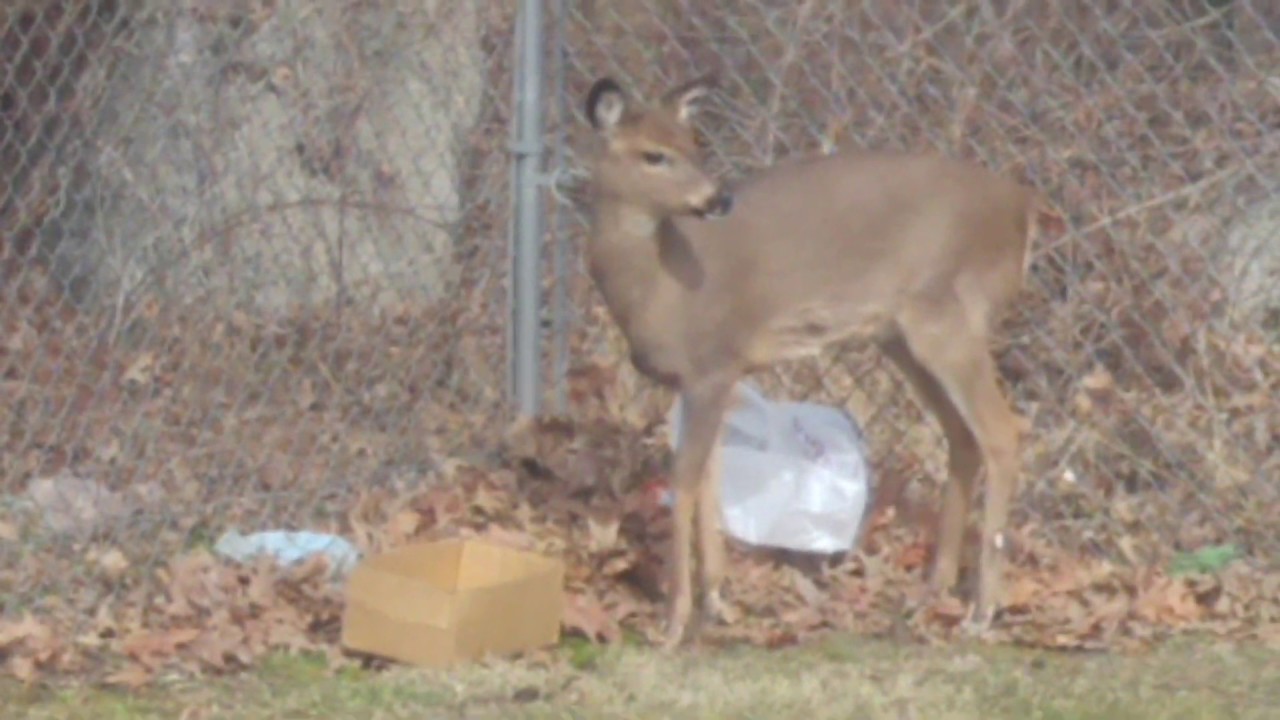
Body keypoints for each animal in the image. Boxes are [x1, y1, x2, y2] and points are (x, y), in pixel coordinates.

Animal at [579, 73, 1056, 650]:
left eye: (693, 144)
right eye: (654, 154)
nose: (717, 198)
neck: (658, 290)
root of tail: (1023, 203)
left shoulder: (715, 363)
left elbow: (685, 482)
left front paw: (674, 622)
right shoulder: (699, 379)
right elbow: (710, 477)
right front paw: (716, 602)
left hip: (950, 317)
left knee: (1003, 432)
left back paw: (981, 611)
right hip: (901, 336)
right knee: (963, 436)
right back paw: (931, 593)